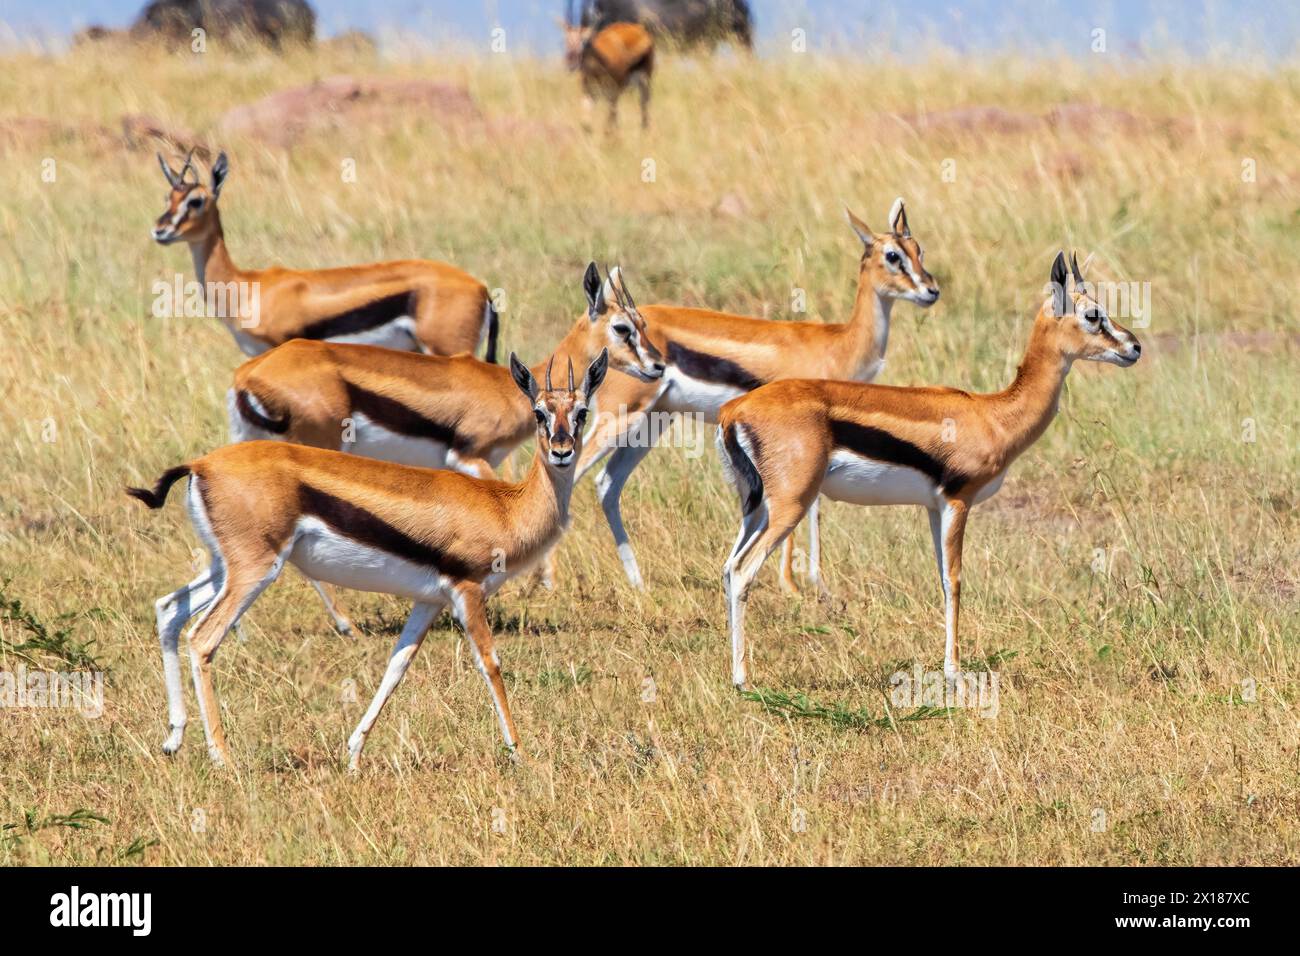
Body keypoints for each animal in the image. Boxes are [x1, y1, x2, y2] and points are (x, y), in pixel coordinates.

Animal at [127, 350, 611, 768]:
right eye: (539, 413)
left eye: (581, 412)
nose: (562, 452)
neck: (504, 507)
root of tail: (200, 465)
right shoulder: (468, 593)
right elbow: (490, 663)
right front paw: (519, 753)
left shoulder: (429, 601)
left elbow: (396, 667)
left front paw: (354, 753)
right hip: (254, 570)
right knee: (202, 639)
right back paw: (222, 757)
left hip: (222, 566)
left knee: (169, 609)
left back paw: (173, 738)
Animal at [227, 263, 664, 632]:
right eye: (622, 328)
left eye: (644, 323)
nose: (658, 366)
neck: (505, 388)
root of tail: (247, 374)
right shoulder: (470, 456)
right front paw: (536, 581)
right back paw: (344, 622)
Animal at [575, 198, 939, 591]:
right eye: (892, 255)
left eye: (918, 250)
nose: (931, 290)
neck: (839, 344)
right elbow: (806, 506)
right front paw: (792, 584)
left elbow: (814, 506)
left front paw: (816, 583)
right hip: (620, 417)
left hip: (652, 423)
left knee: (607, 484)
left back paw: (638, 582)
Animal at [716, 252, 1142, 688]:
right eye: (1093, 314)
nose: (1134, 347)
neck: (993, 414)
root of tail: (734, 411)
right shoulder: (958, 501)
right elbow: (955, 580)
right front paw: (953, 672)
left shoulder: (934, 507)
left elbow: (940, 577)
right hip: (790, 505)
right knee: (744, 571)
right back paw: (742, 679)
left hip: (756, 508)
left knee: (729, 568)